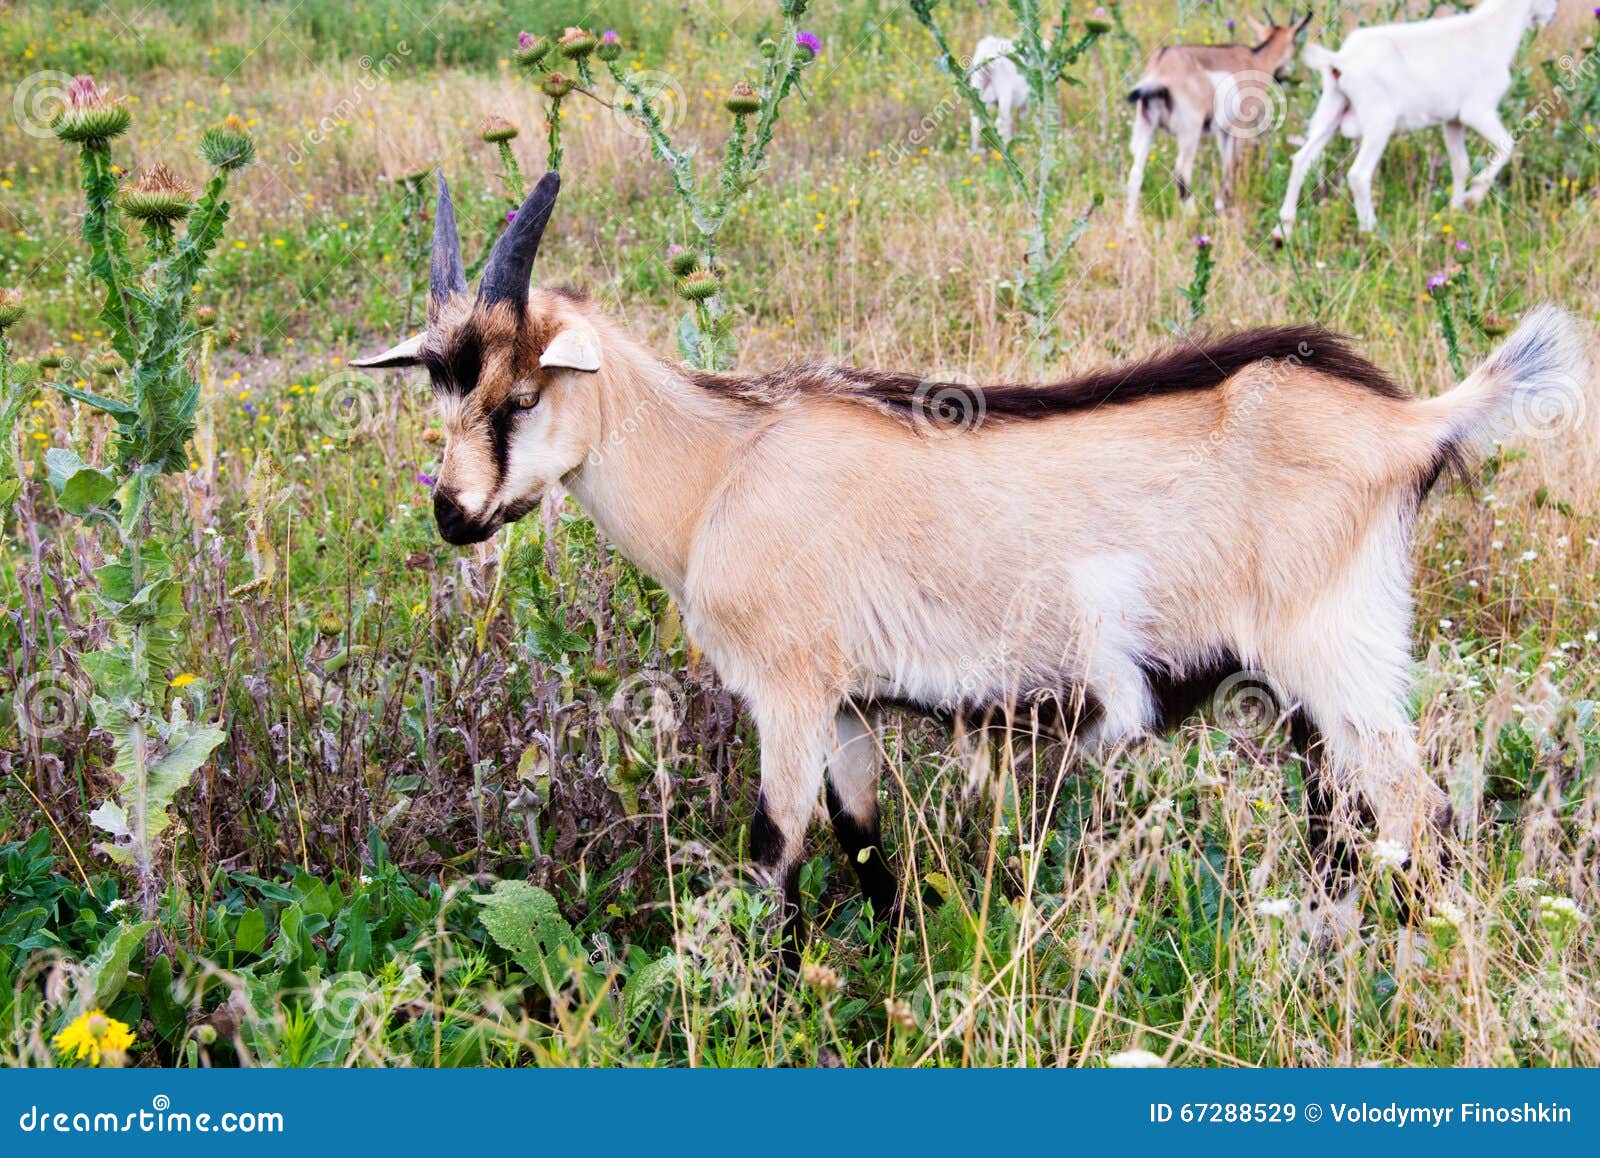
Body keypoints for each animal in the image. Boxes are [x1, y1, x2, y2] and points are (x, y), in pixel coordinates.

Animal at [356, 173, 1585, 963]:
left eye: (522, 396)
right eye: (437, 390)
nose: (454, 515)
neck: (722, 467)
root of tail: (1411, 424)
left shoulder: (788, 691)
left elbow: (773, 852)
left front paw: (762, 998)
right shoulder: (851, 706)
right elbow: (862, 844)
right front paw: (898, 970)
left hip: (1337, 655)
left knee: (1420, 818)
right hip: (1302, 690)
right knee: (1344, 825)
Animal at [1125, 11, 1311, 225]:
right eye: (1295, 45)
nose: (1283, 76)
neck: (1256, 58)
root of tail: (1160, 66)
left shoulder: (1223, 131)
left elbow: (1227, 164)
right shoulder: (1239, 128)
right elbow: (1232, 165)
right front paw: (1223, 207)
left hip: (1145, 125)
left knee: (1136, 174)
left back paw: (1129, 223)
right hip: (1190, 131)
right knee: (1182, 173)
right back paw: (1193, 217)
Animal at [1277, 0, 1560, 237]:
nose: (1552, 15)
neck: (1493, 31)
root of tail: (1340, 61)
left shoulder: (1452, 121)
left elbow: (1460, 165)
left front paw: (1455, 210)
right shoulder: (1477, 112)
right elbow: (1506, 145)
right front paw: (1474, 197)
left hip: (1330, 111)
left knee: (1301, 160)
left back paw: (1283, 231)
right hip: (1379, 122)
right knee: (1358, 174)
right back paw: (1370, 231)